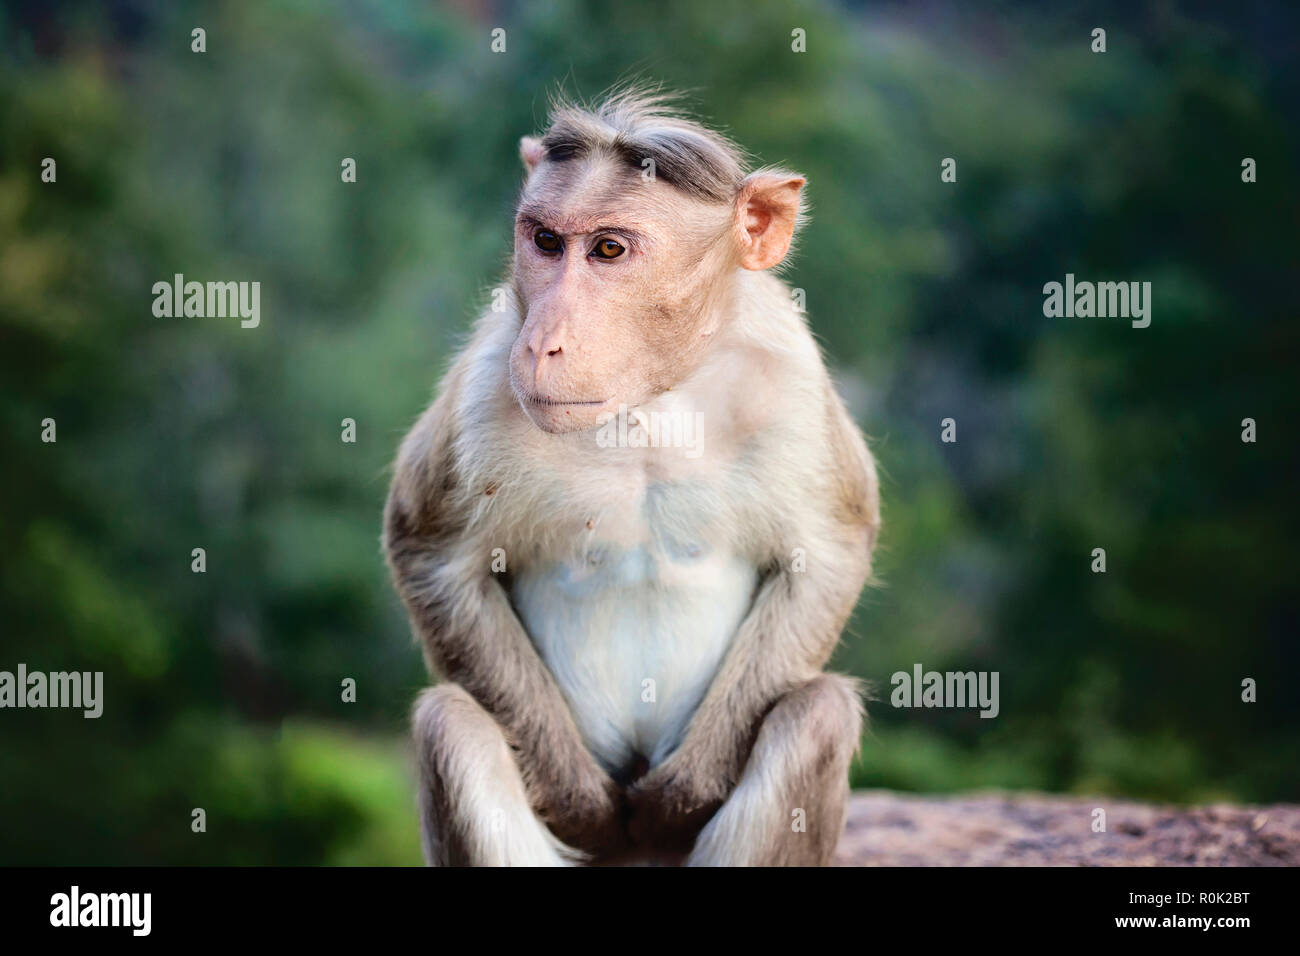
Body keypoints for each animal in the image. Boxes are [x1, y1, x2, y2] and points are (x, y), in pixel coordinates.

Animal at [383, 87, 880, 866]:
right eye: (545, 241)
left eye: (609, 249)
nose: (542, 342)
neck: (646, 405)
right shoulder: (484, 386)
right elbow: (431, 552)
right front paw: (579, 802)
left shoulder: (793, 381)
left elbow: (829, 551)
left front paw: (681, 798)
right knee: (449, 721)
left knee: (816, 711)